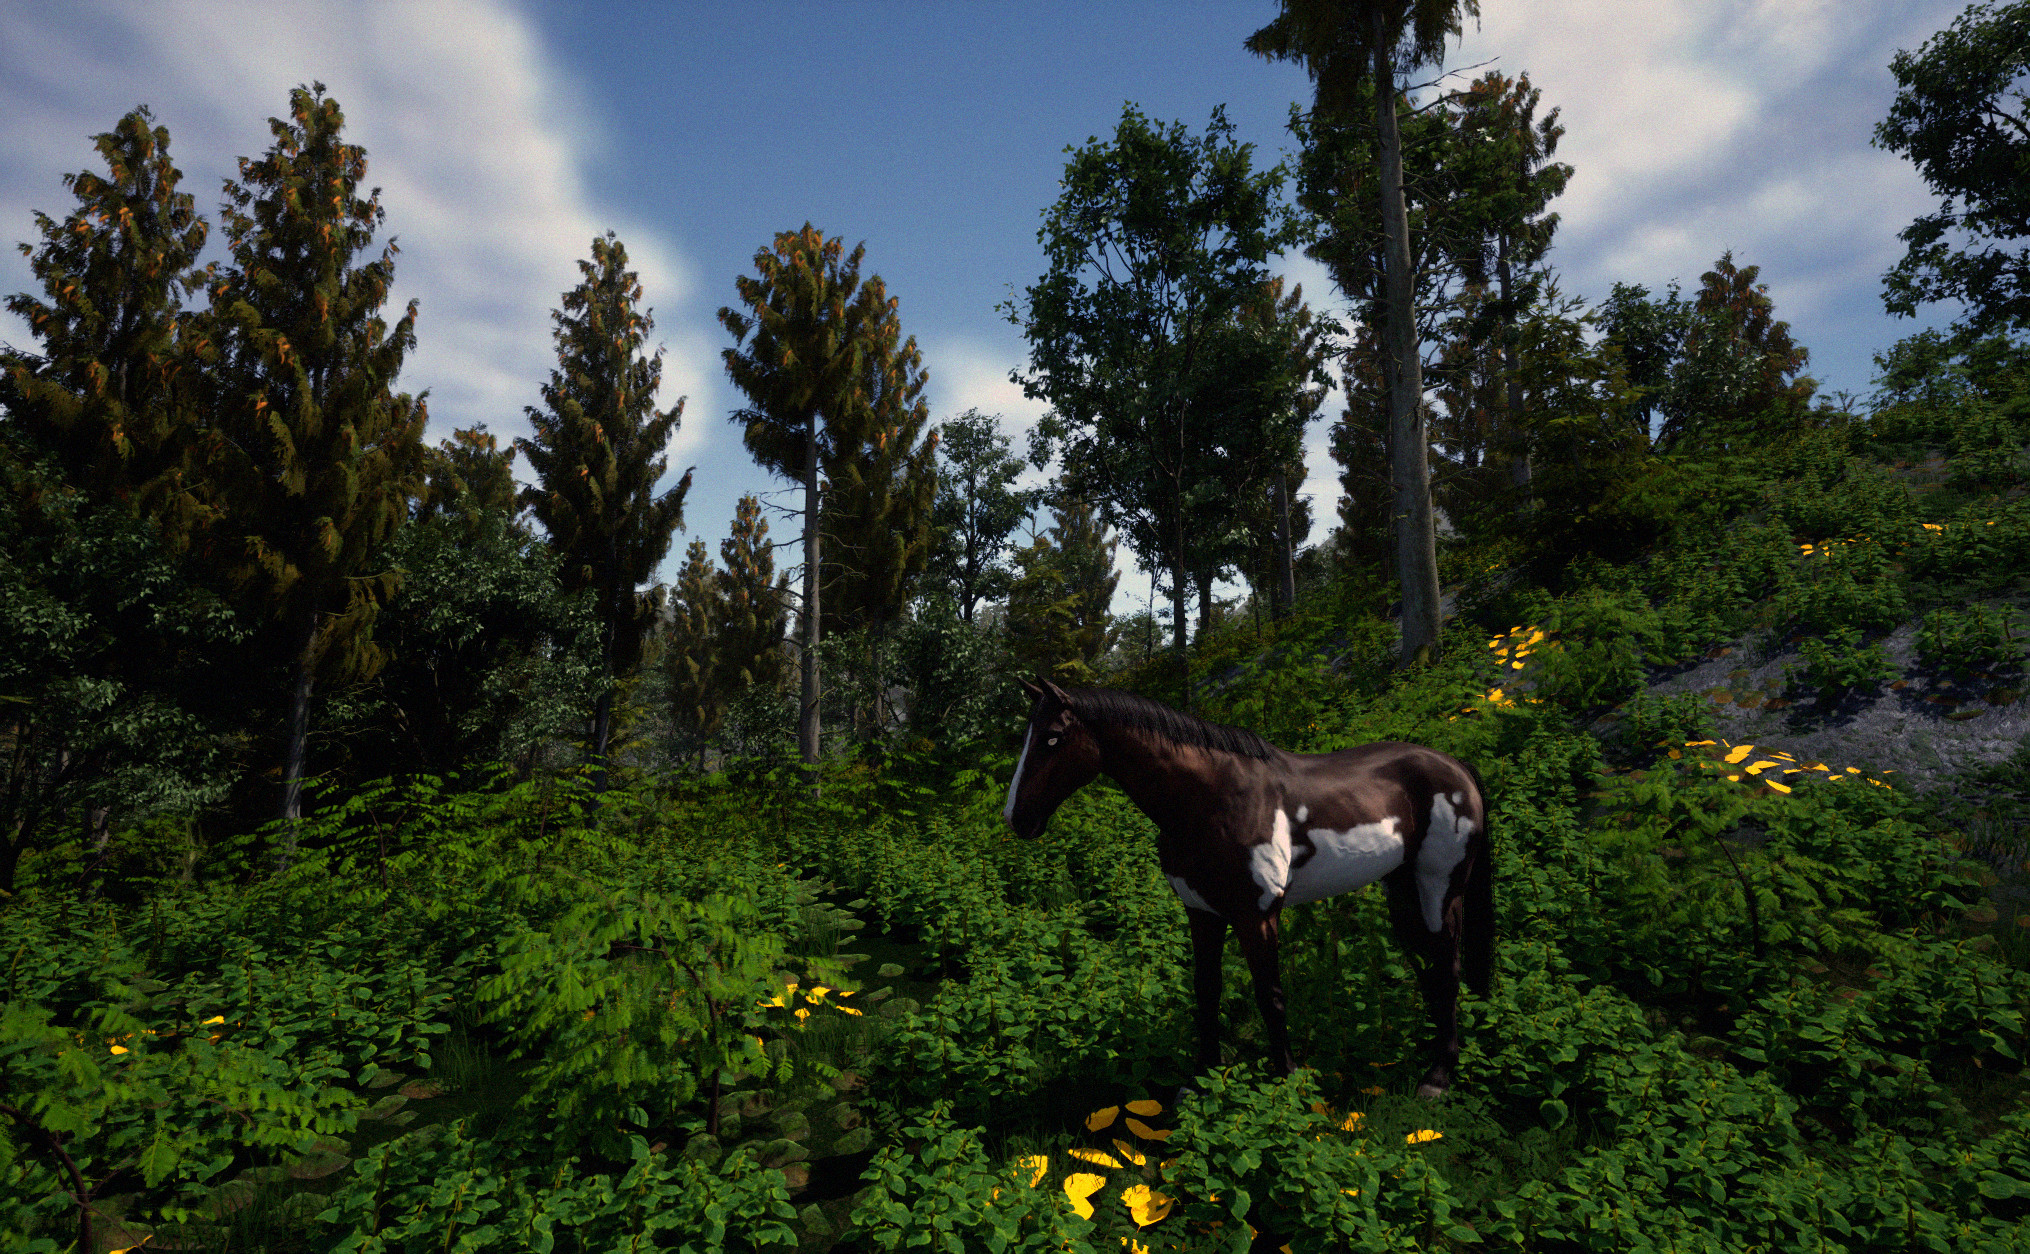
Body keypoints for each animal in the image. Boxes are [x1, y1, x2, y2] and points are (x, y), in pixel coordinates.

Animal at [1003, 678, 1494, 1097]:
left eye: (1052, 738)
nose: (1017, 819)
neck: (1210, 800)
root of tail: (1457, 766)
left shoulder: (1257, 914)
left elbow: (1270, 996)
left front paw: (1289, 1081)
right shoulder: (1202, 912)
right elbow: (1206, 990)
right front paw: (1202, 1078)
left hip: (1440, 890)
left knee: (1447, 968)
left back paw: (1437, 1076)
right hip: (1404, 891)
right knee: (1426, 967)